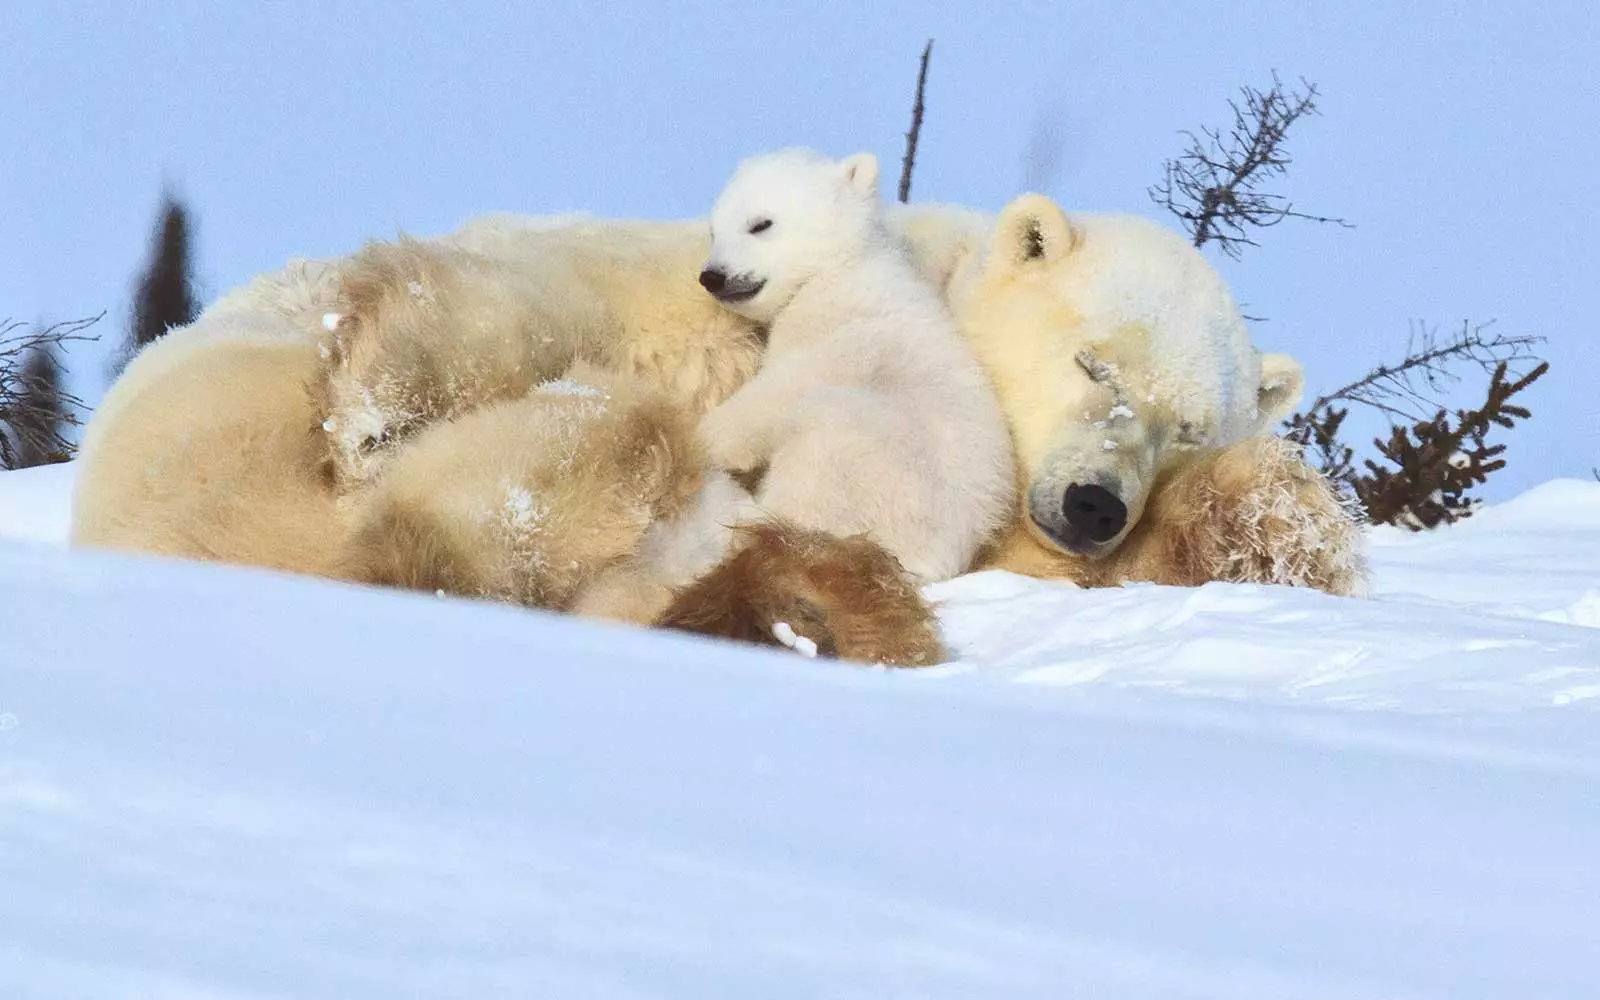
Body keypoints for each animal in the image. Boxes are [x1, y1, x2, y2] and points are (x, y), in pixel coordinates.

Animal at [68, 187, 1356, 659]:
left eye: (1185, 423)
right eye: (1091, 362)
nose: (1092, 503)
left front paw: (1279, 535)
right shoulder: (688, 288)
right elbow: (528, 298)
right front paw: (376, 398)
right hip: (217, 427)